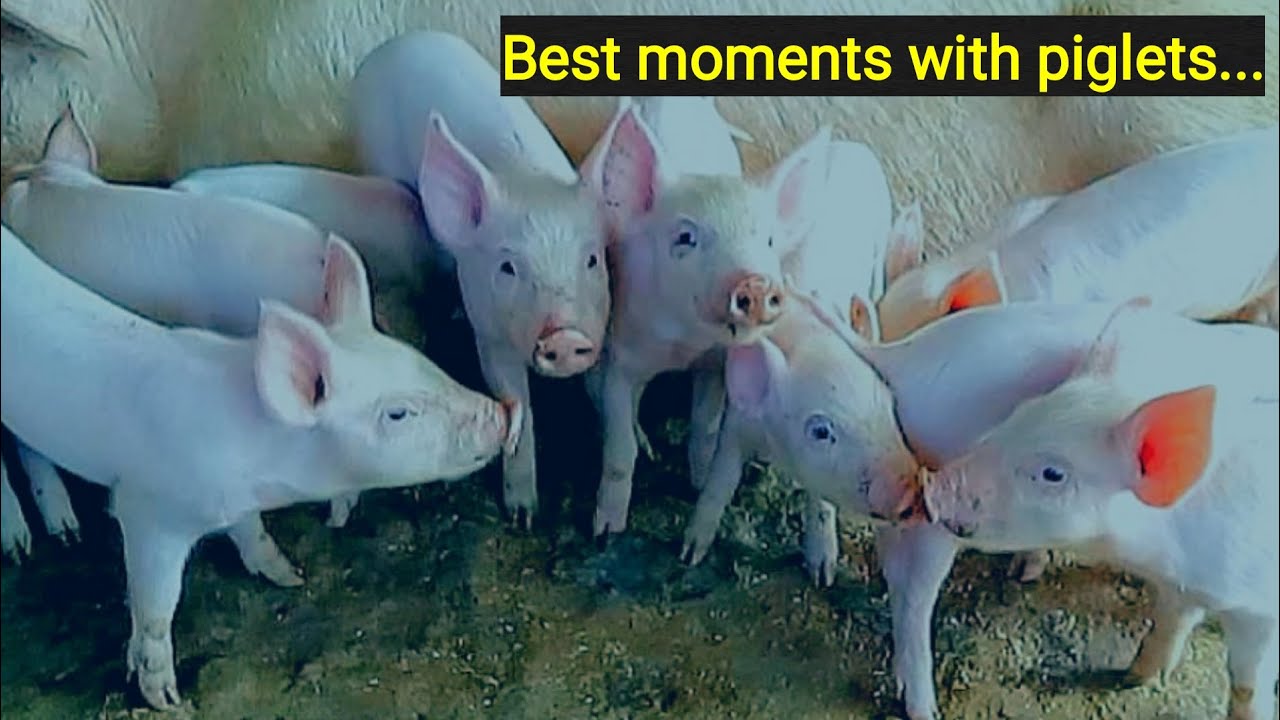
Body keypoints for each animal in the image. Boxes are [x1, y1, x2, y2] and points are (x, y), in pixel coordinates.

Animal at [1, 222, 517, 709]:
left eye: (421, 360)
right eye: (398, 413)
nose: (505, 411)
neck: (260, 464)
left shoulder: (236, 503)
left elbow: (251, 531)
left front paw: (291, 576)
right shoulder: (148, 510)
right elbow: (155, 606)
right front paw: (164, 697)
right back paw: (36, 543)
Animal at [350, 30, 610, 528]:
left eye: (591, 258)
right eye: (508, 267)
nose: (565, 335)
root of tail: (392, 44)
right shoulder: (488, 333)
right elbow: (517, 404)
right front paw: (523, 517)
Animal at [584, 100, 838, 538]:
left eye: (768, 240)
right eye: (686, 237)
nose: (755, 282)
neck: (685, 343)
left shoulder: (715, 365)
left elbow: (704, 426)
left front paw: (698, 483)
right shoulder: (622, 351)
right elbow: (619, 445)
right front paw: (606, 531)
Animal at [924, 299, 1279, 720]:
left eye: (1053, 473)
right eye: (1019, 414)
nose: (931, 484)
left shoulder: (1258, 609)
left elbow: (1246, 681)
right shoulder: (1180, 587)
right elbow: (1168, 624)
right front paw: (1134, 678)